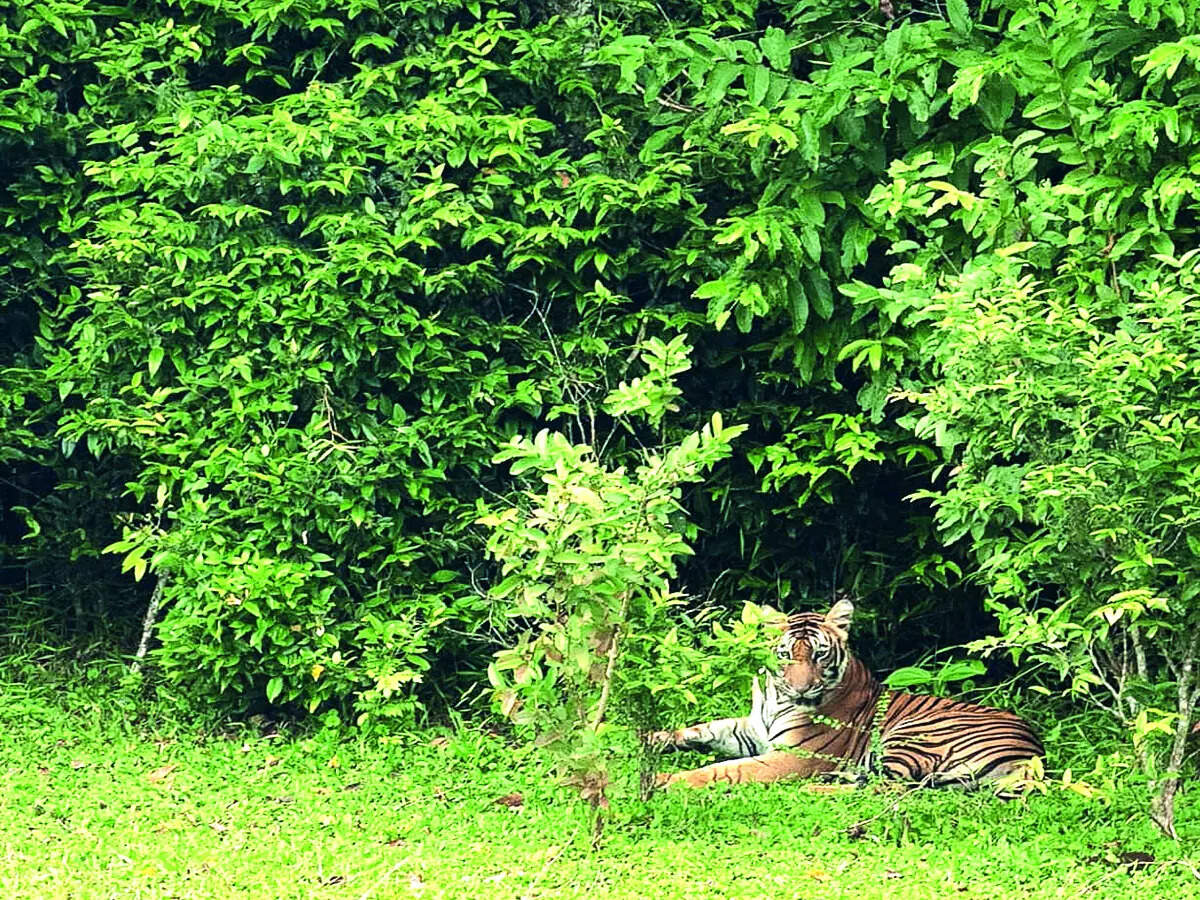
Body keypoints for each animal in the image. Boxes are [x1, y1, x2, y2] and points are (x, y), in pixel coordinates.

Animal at [651, 597, 1043, 789]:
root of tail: (1032, 753)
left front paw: (662, 780)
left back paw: (814, 789)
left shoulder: (792, 757)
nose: (801, 689)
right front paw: (650, 739)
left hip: (912, 736)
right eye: (785, 654)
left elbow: (723, 771)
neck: (776, 699)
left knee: (891, 788)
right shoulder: (749, 729)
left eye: (820, 654)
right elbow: (698, 729)